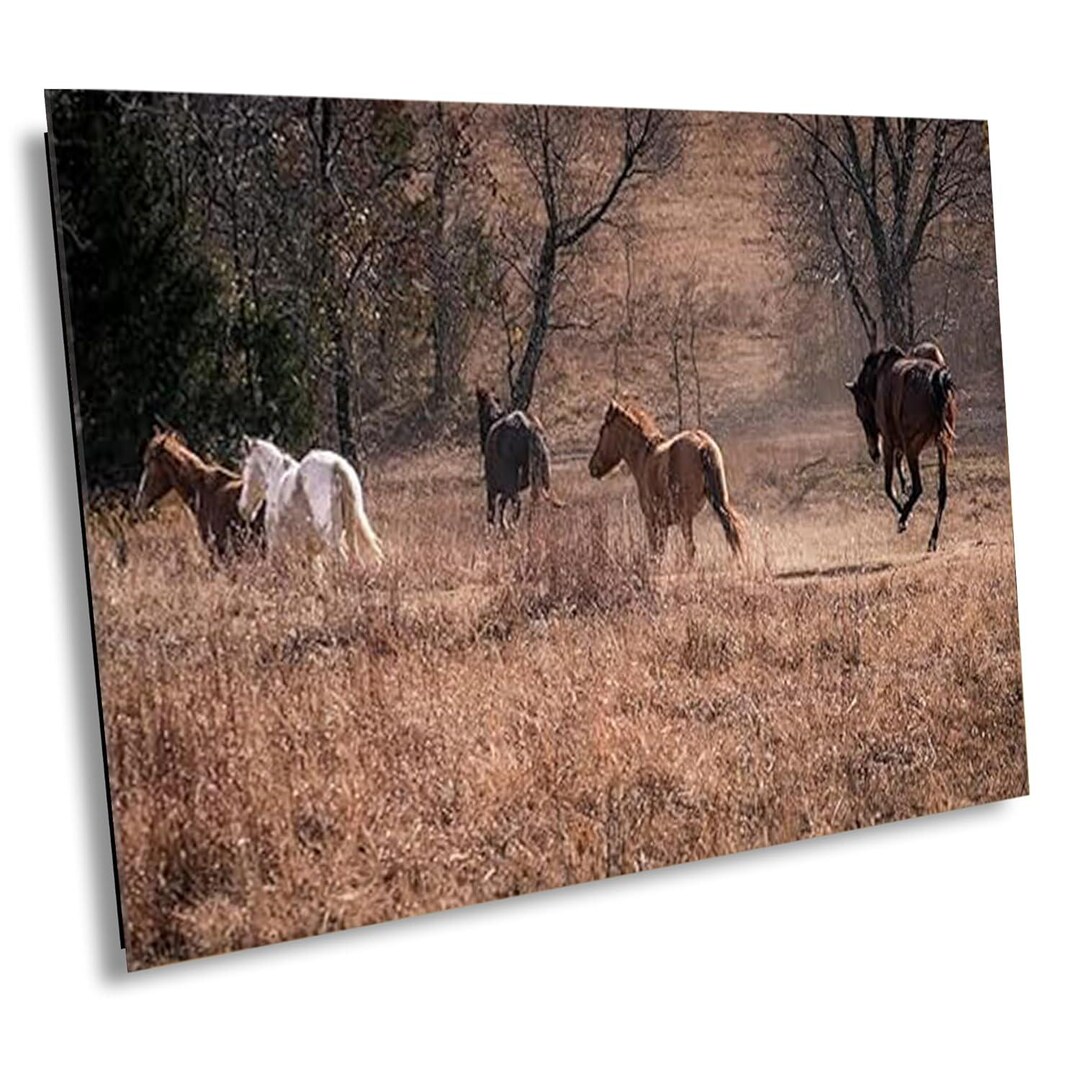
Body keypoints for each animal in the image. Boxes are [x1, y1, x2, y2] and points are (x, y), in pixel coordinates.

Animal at [237, 437, 383, 563]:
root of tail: (335, 465)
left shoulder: (276, 544)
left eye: (245, 464)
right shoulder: (312, 552)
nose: (243, 508)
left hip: (332, 539)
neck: (276, 478)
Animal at [588, 399, 745, 561]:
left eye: (602, 431)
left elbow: (656, 553)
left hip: (685, 518)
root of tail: (702, 444)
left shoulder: (653, 522)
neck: (645, 457)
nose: (592, 467)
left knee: (691, 549)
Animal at [845, 342, 957, 552]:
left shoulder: (890, 443)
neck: (879, 375)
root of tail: (936, 379)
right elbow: (898, 466)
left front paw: (904, 516)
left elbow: (888, 485)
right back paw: (932, 539)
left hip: (915, 448)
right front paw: (905, 487)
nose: (873, 453)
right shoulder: (900, 443)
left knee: (919, 488)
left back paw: (904, 518)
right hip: (942, 446)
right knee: (942, 492)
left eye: (860, 412)